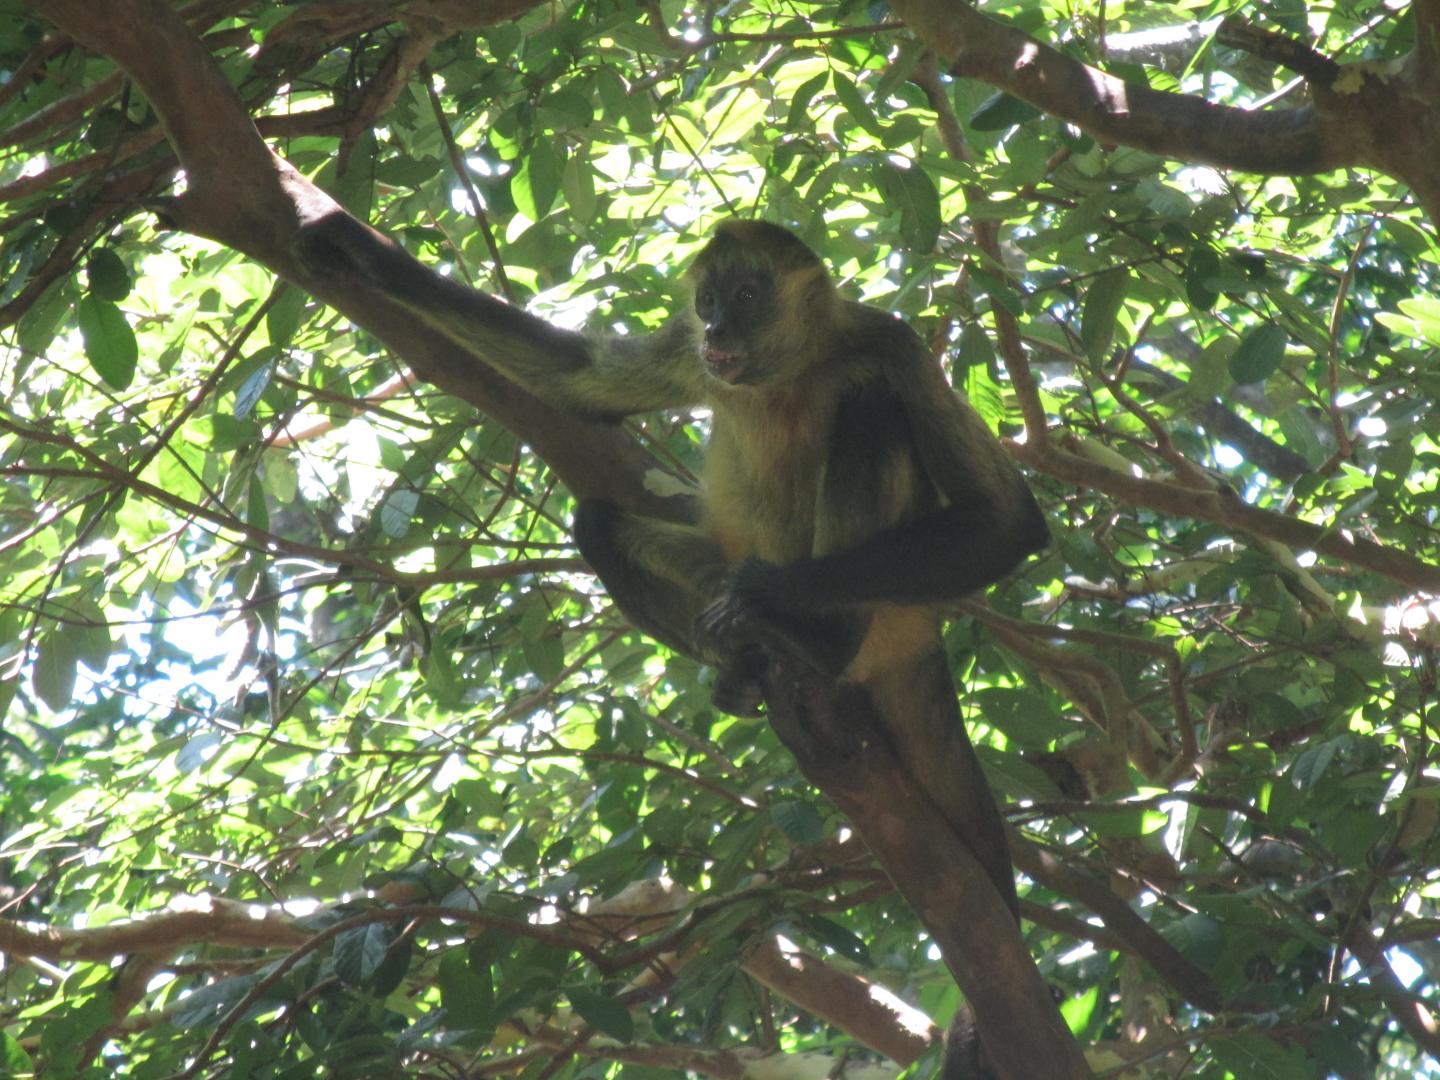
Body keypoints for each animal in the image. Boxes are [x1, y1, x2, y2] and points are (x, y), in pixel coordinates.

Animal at [297, 217, 1048, 1076]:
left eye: (747, 297)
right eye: (710, 301)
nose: (718, 328)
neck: (787, 373)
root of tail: (914, 632)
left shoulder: (892, 345)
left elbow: (1010, 522)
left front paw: (768, 597)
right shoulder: (697, 363)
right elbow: (576, 383)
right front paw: (359, 249)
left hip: (885, 593)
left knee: (870, 403)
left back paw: (815, 637)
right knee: (598, 525)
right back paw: (745, 669)